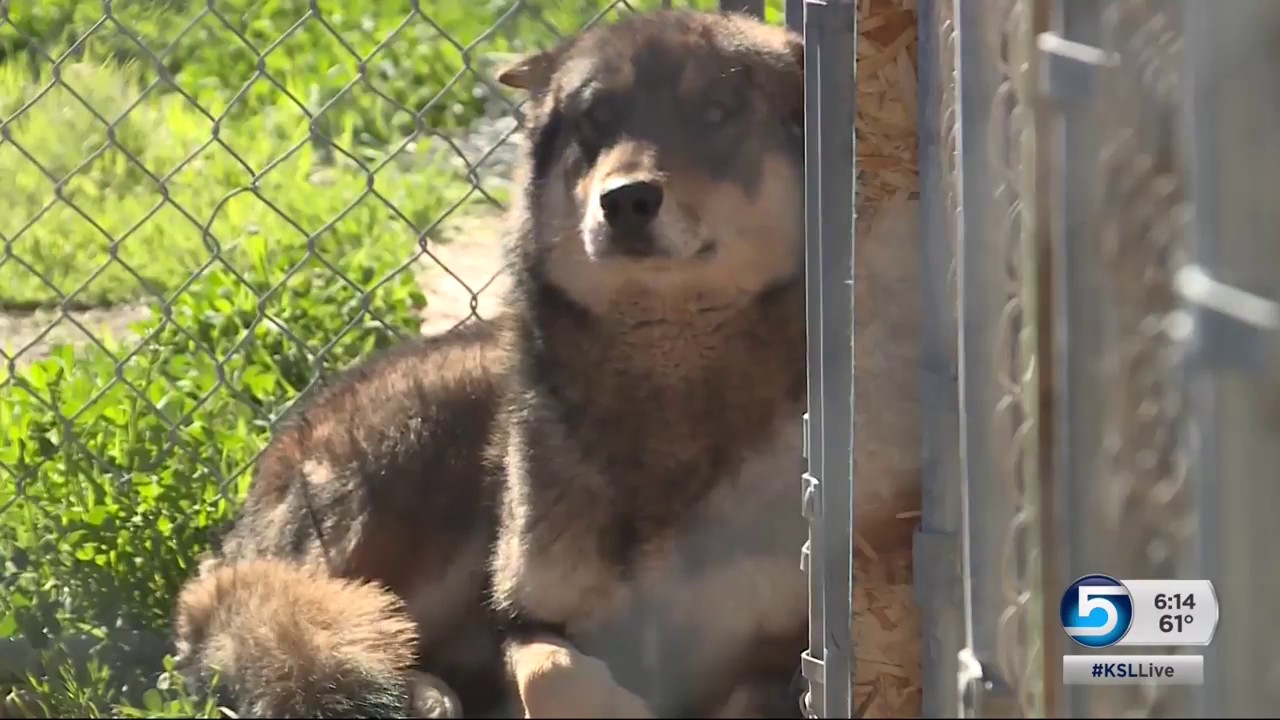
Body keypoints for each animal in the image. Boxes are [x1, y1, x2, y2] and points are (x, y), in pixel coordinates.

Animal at [171, 8, 888, 718]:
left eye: (713, 111)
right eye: (595, 119)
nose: (625, 200)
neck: (665, 383)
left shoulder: (778, 656)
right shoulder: (524, 618)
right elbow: (552, 674)